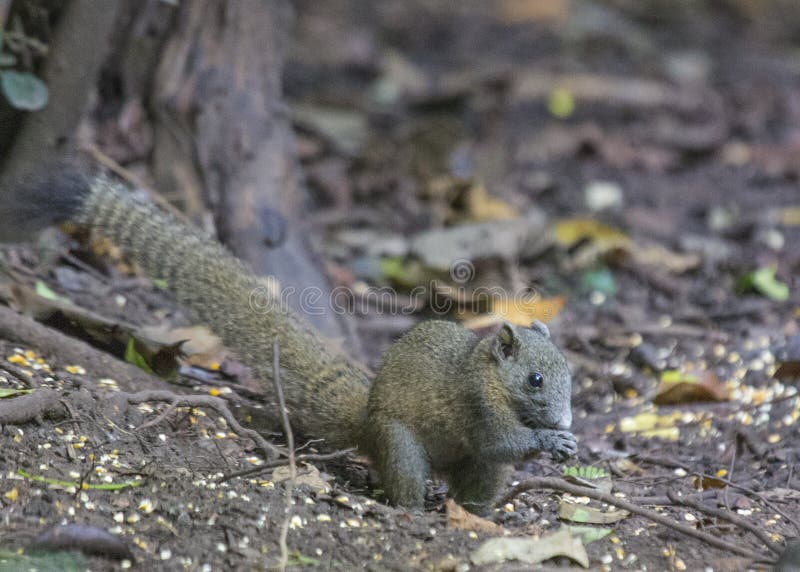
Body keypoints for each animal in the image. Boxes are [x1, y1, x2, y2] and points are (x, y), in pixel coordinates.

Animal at [0, 163, 576, 514]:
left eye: (570, 377)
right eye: (535, 378)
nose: (568, 422)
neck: (489, 372)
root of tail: (365, 421)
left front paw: (564, 441)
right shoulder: (476, 401)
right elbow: (500, 439)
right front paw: (551, 441)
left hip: (474, 471)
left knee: (477, 484)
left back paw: (480, 517)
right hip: (400, 443)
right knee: (412, 478)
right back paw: (413, 511)